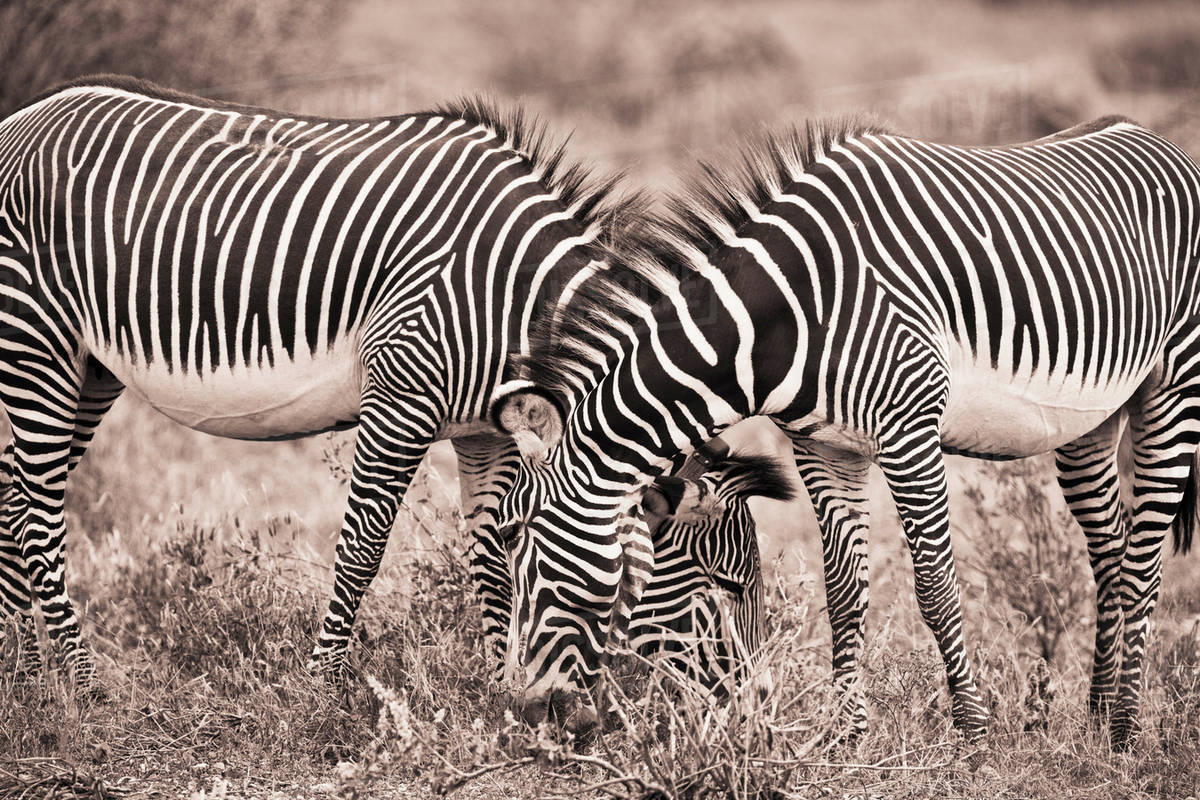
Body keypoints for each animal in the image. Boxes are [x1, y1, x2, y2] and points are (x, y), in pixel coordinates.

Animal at [492, 116, 1200, 747]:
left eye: (536, 560)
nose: (526, 711)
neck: (787, 315)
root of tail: (1163, 144)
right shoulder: (822, 446)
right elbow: (844, 595)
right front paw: (846, 737)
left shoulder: (910, 430)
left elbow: (935, 587)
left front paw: (973, 737)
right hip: (1094, 419)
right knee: (1110, 550)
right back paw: (1096, 719)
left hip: (1173, 386)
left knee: (1145, 562)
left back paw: (1125, 732)